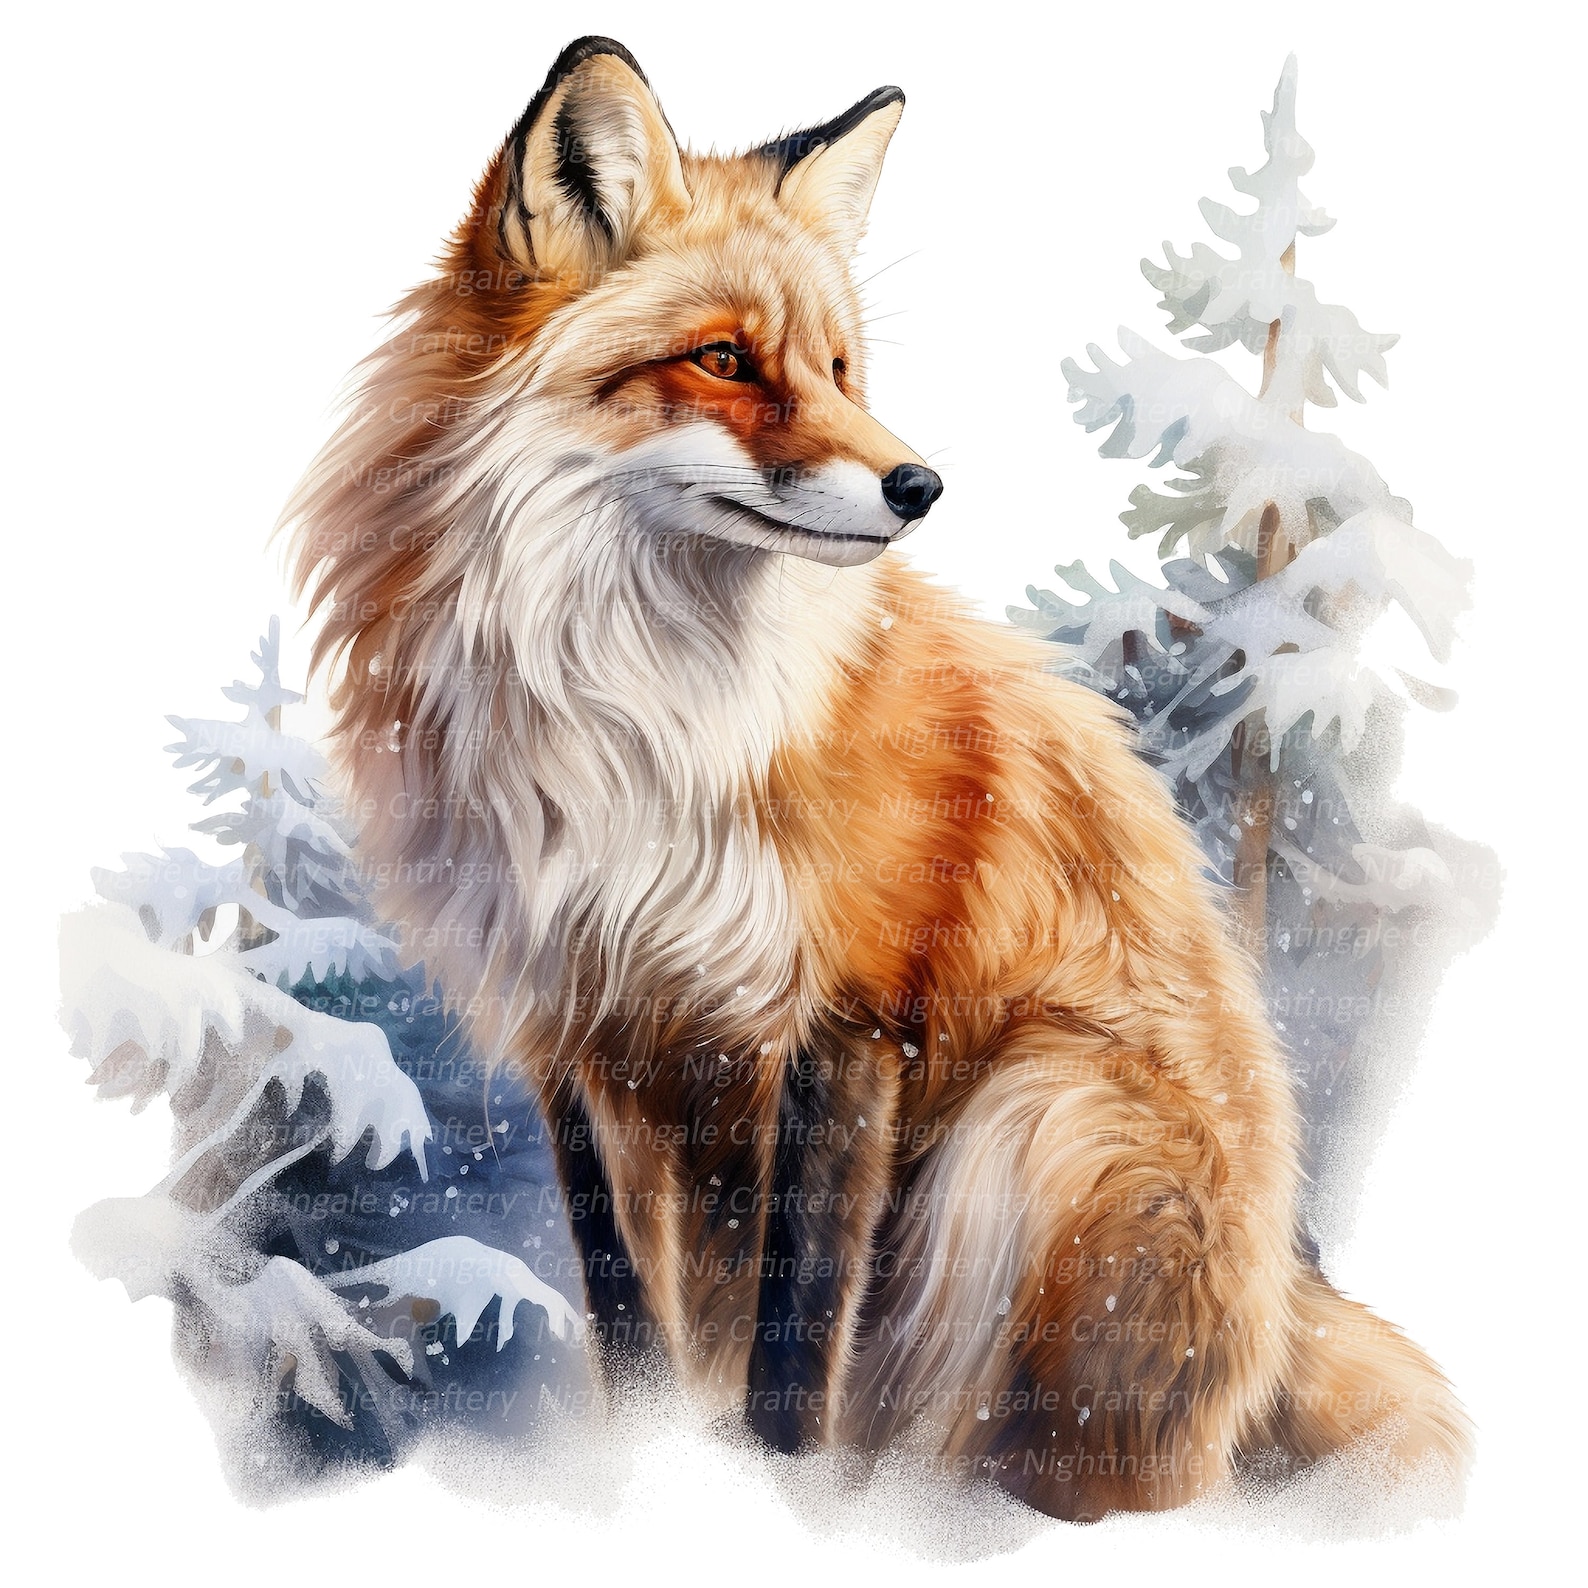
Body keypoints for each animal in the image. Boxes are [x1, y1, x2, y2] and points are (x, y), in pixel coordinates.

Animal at [283, 36, 1471, 1520]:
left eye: (841, 365)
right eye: (724, 359)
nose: (920, 485)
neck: (638, 727)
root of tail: (1278, 1313)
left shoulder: (849, 1018)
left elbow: (797, 1362)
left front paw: (780, 1506)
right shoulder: (581, 1034)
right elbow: (631, 1335)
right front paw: (642, 1479)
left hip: (1037, 1119)